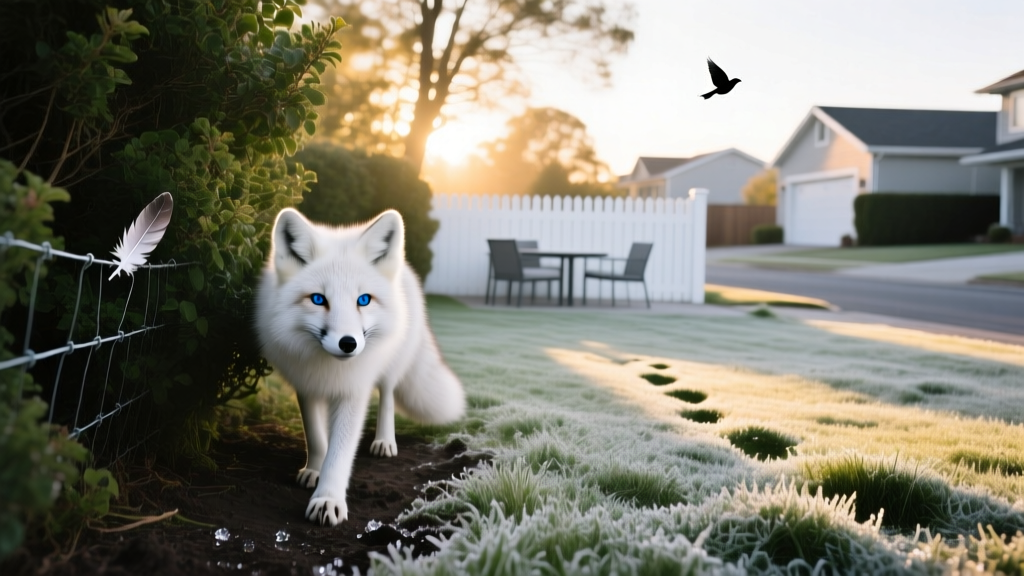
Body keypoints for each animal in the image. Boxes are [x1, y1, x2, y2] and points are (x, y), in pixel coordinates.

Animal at [254, 208, 465, 526]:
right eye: (318, 299)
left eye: (363, 300)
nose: (348, 344)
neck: (330, 370)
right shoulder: (306, 385)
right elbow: (316, 437)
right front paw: (315, 469)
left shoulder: (353, 391)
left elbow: (340, 453)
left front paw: (328, 499)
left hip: (390, 367)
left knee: (388, 398)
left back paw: (384, 441)